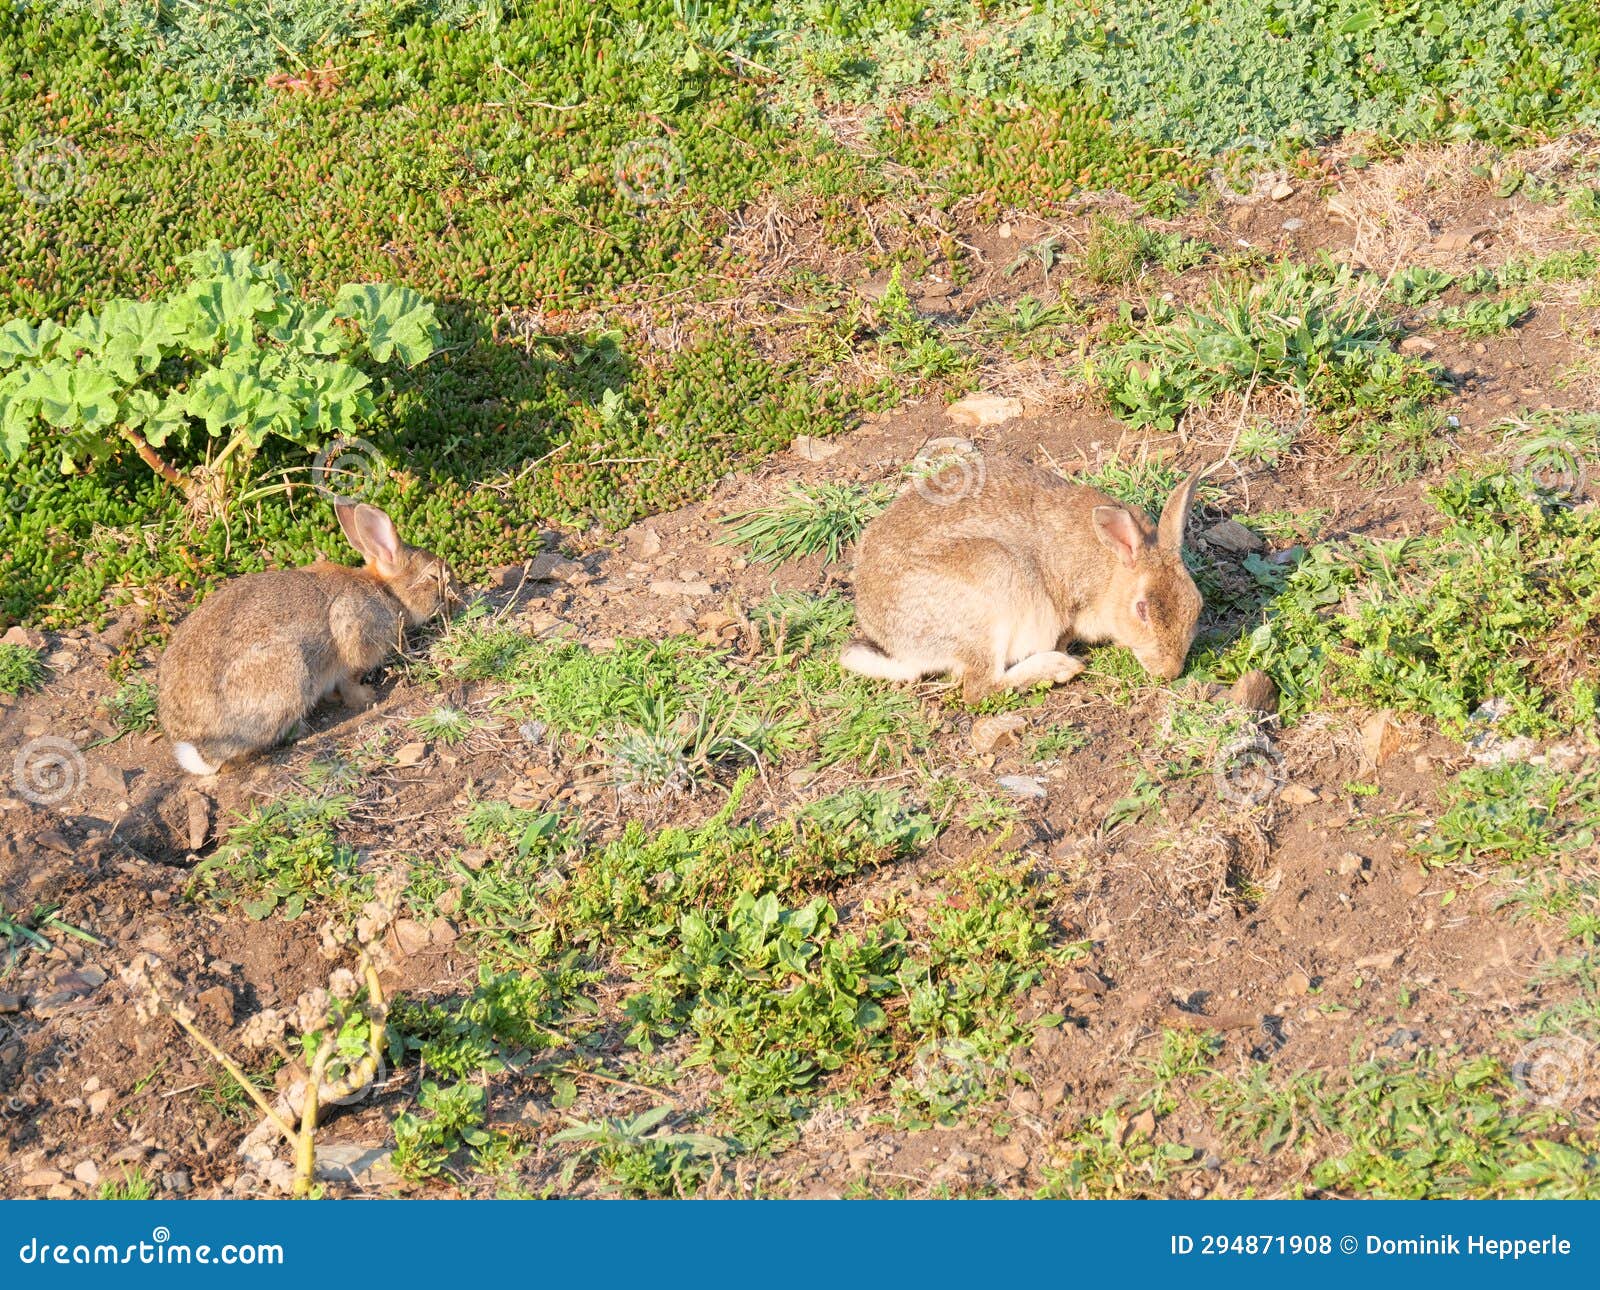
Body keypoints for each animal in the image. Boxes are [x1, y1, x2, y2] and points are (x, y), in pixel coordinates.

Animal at [158, 502, 457, 775]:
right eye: (434, 577)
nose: (453, 599)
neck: (387, 591)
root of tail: (203, 748)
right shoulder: (353, 633)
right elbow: (350, 680)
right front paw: (366, 698)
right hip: (288, 672)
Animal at [840, 457, 1204, 703]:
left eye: (1196, 606)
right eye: (1141, 609)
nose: (1169, 672)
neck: (1111, 569)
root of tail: (900, 645)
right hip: (992, 591)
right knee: (980, 687)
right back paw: (1059, 667)